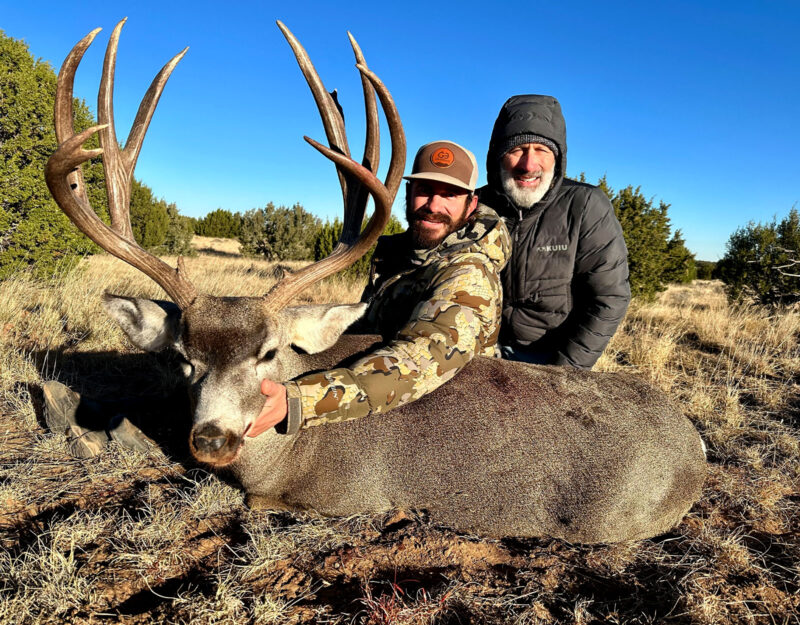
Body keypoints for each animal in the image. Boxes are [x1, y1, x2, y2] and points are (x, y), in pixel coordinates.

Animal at [45, 19, 706, 544]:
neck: (289, 456)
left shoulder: (350, 498)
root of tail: (697, 448)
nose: (211, 439)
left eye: (268, 353)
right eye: (185, 356)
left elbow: (256, 503)